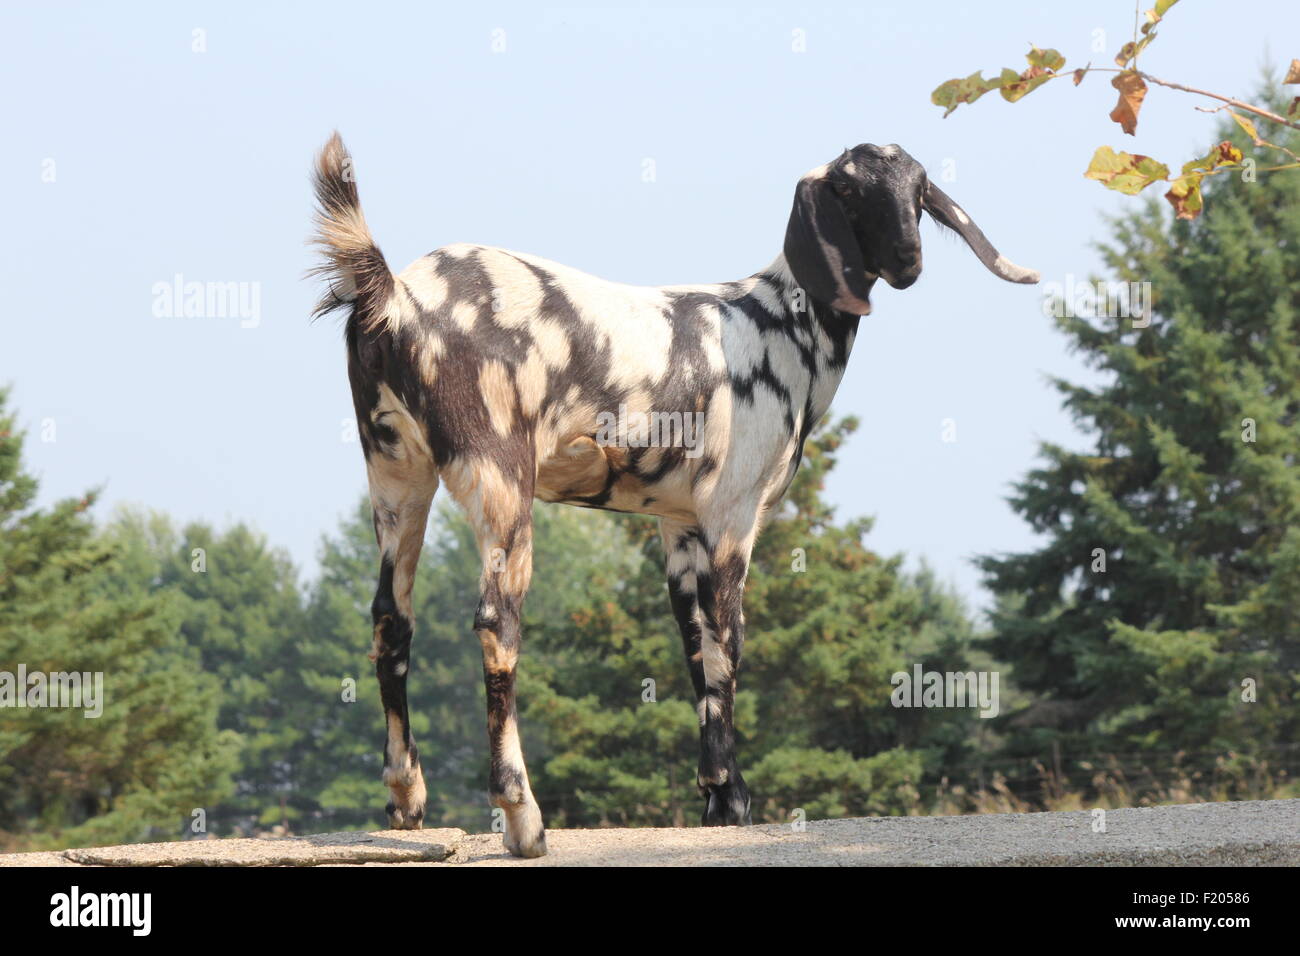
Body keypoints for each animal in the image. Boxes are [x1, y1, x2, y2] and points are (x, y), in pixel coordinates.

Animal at [310, 133, 1037, 857]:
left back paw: (407, 801)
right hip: (499, 473)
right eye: (849, 190)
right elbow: (728, 646)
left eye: (919, 188)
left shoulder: (679, 524)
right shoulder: (733, 511)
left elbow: (695, 648)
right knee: (496, 621)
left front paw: (716, 796)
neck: (781, 324)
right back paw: (522, 817)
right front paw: (732, 801)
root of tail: (396, 296)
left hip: (396, 472)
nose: (908, 258)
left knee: (391, 618)